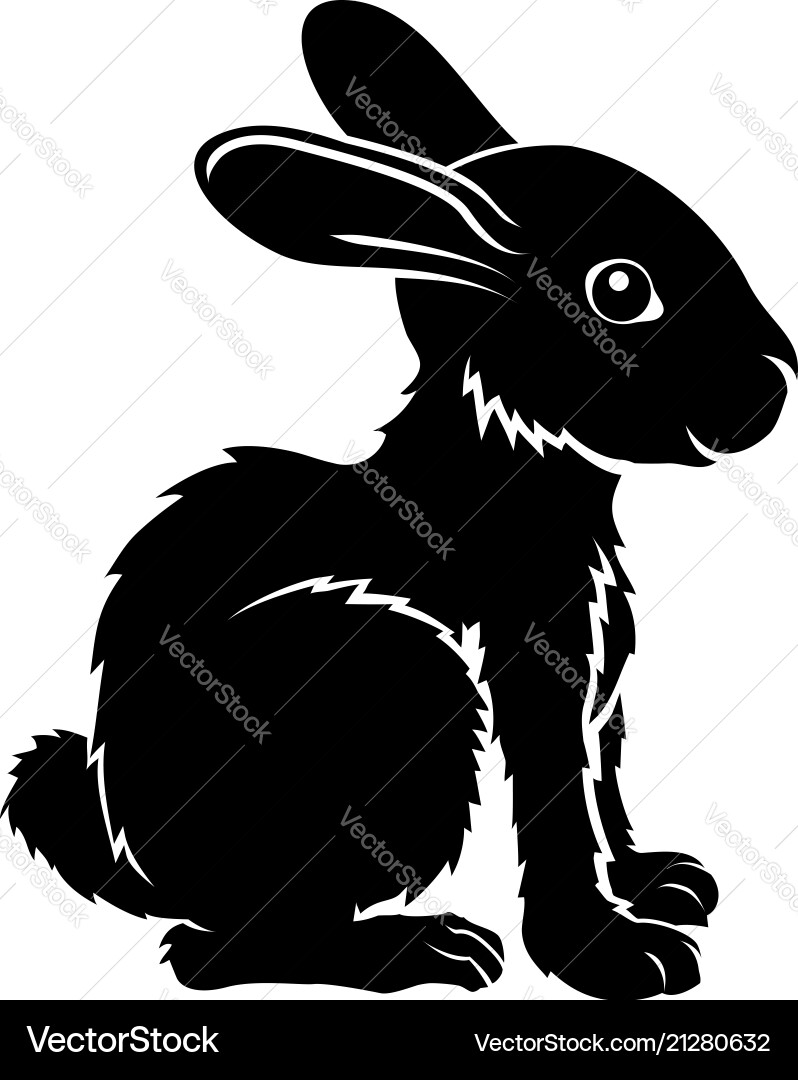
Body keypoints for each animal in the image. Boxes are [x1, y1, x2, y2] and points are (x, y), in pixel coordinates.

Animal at [4, 0, 796, 1000]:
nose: (771, 388)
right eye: (622, 288)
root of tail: (131, 854)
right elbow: (559, 801)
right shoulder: (531, 655)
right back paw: (430, 951)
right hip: (401, 682)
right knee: (210, 953)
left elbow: (604, 780)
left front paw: (658, 881)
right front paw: (613, 955)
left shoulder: (598, 673)